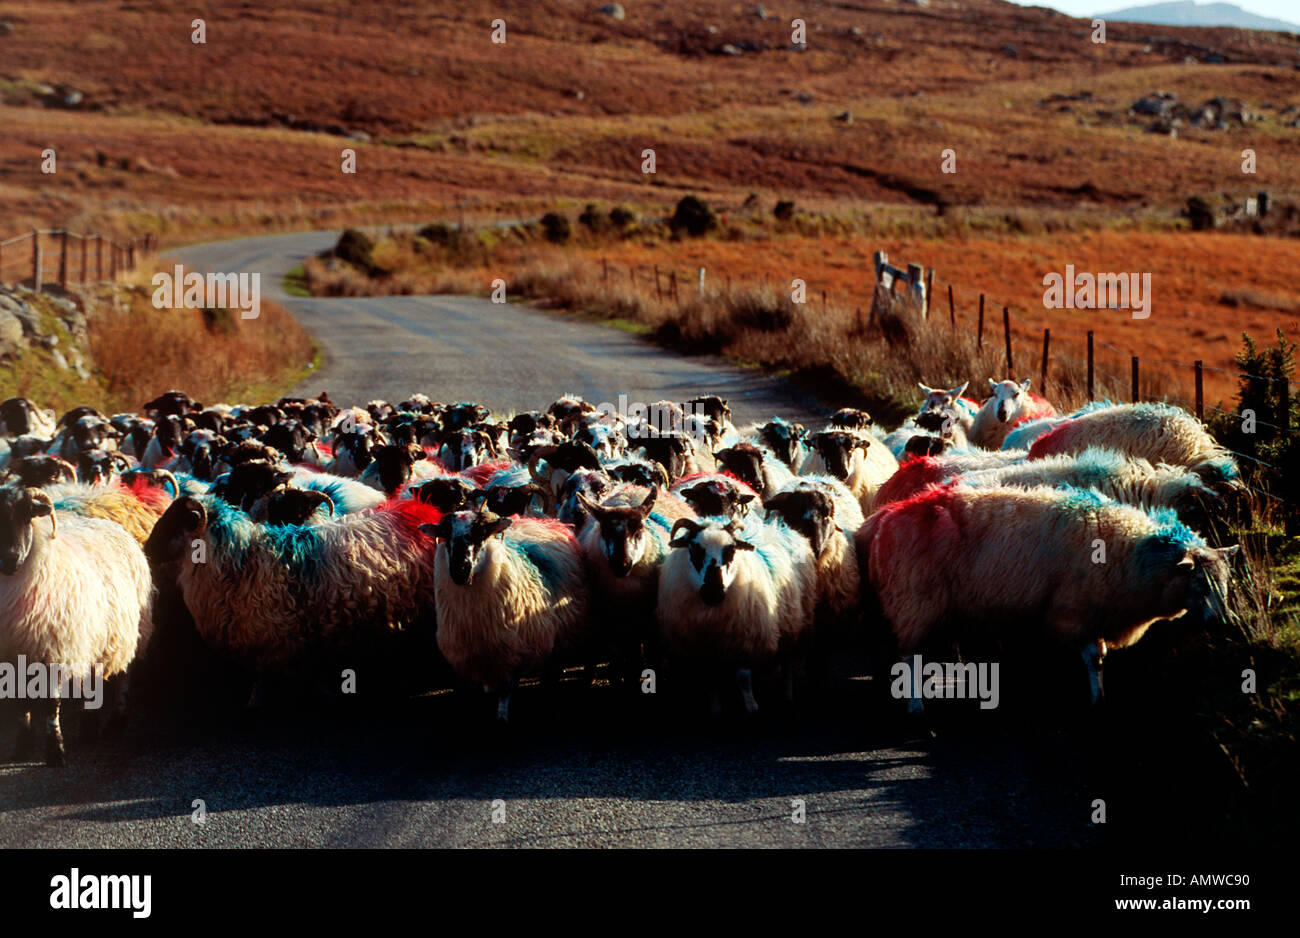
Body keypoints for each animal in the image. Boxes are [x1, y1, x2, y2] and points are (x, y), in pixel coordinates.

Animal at [416, 506, 590, 722]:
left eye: (481, 533)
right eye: (446, 535)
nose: (460, 570)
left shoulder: (511, 649)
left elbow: (506, 690)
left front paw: (502, 716)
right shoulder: (476, 652)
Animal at [660, 511, 811, 706]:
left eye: (731, 550)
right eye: (694, 549)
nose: (713, 592)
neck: (711, 616)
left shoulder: (745, 642)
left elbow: (743, 680)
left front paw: (752, 706)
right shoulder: (704, 651)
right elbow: (712, 683)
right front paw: (716, 707)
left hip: (792, 624)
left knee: (787, 663)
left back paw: (787, 694)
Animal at [857, 485, 1232, 711]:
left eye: (1225, 584)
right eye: (1200, 583)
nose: (1222, 623)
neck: (1134, 555)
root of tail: (883, 517)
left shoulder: (1095, 614)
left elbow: (1099, 659)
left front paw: (1100, 694)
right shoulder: (1074, 612)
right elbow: (1093, 659)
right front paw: (1096, 699)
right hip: (913, 602)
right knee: (909, 657)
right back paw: (915, 704)